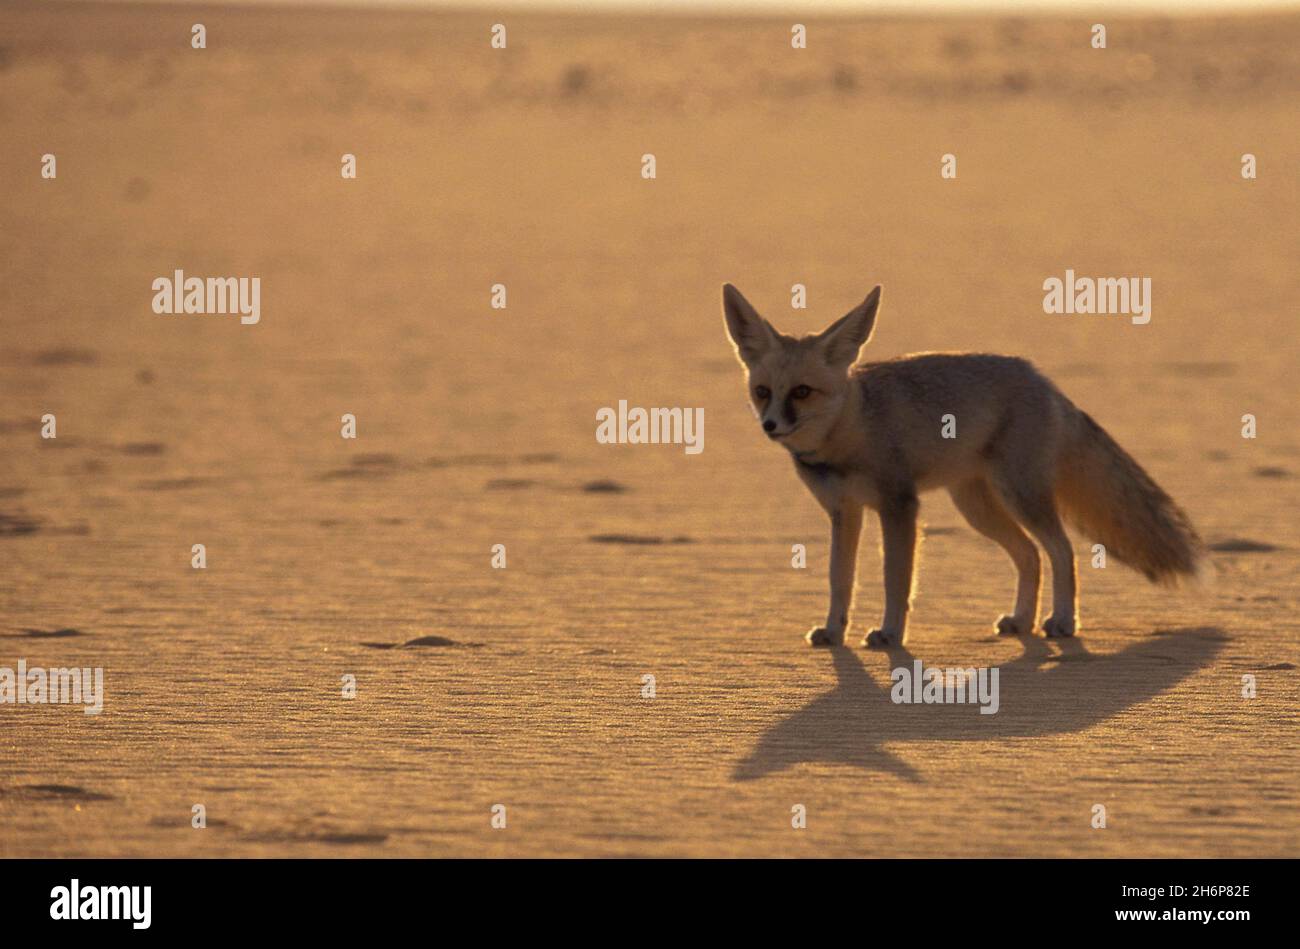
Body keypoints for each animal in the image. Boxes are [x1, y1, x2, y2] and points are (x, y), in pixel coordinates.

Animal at [722, 282, 1204, 648]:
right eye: (763, 392)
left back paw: (1063, 622)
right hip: (976, 507)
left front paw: (891, 634)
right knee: (1030, 555)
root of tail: (1043, 379)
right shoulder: (845, 511)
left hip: (1019, 496)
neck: (849, 433)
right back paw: (1022, 621)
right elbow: (840, 579)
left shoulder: (899, 506)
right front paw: (834, 632)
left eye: (802, 392)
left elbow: (896, 579)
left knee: (1061, 550)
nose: (770, 426)